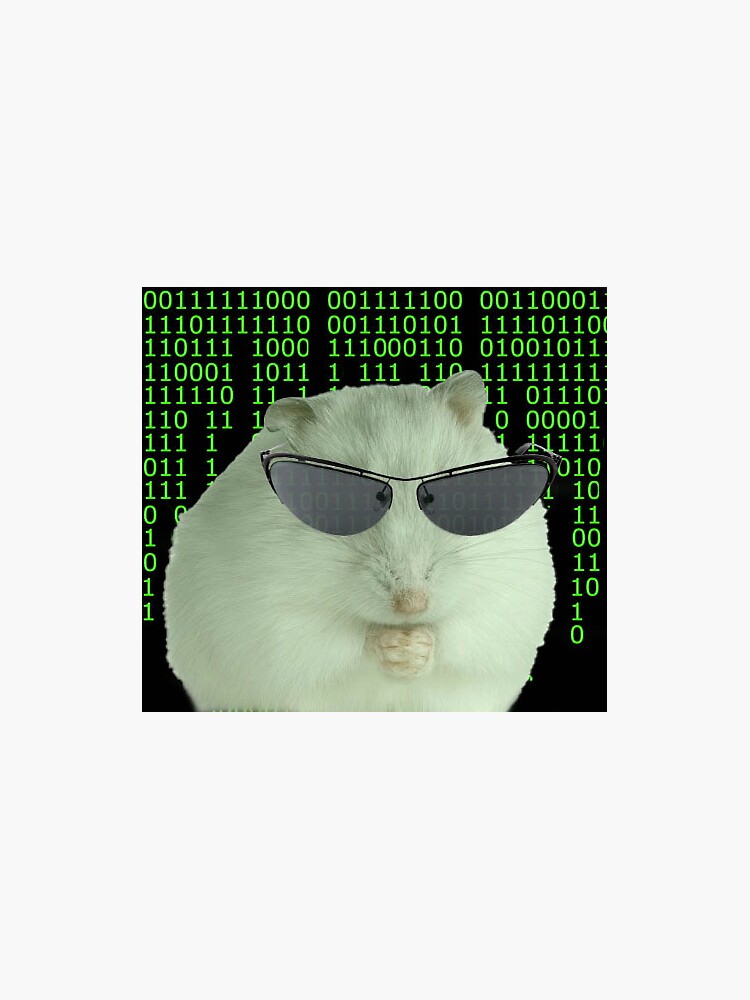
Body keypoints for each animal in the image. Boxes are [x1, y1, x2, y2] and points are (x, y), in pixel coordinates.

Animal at [163, 370, 556, 711]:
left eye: (460, 499)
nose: (411, 605)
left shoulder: (508, 599)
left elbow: (456, 634)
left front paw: (415, 648)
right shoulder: (275, 615)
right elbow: (346, 639)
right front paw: (396, 646)